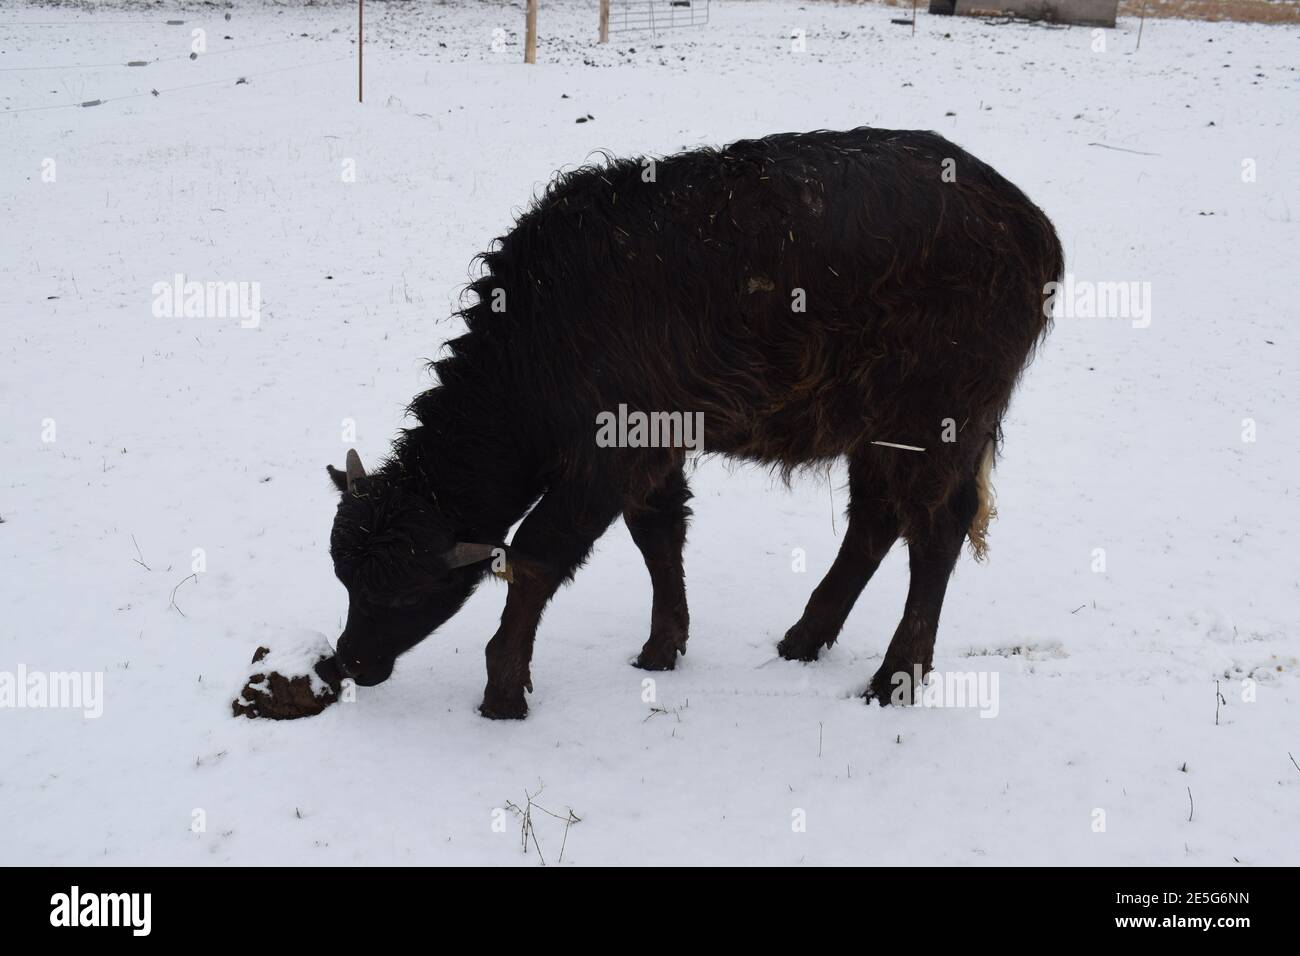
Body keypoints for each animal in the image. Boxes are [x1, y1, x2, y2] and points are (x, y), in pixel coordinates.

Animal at [326, 127, 1063, 718]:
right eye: (346, 580)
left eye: (405, 596)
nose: (348, 663)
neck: (549, 326)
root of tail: (1027, 225)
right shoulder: (657, 447)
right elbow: (658, 535)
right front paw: (662, 644)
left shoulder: (609, 453)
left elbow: (537, 556)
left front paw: (504, 688)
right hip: (874, 427)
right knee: (875, 521)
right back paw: (806, 636)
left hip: (935, 422)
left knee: (935, 529)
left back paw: (895, 678)